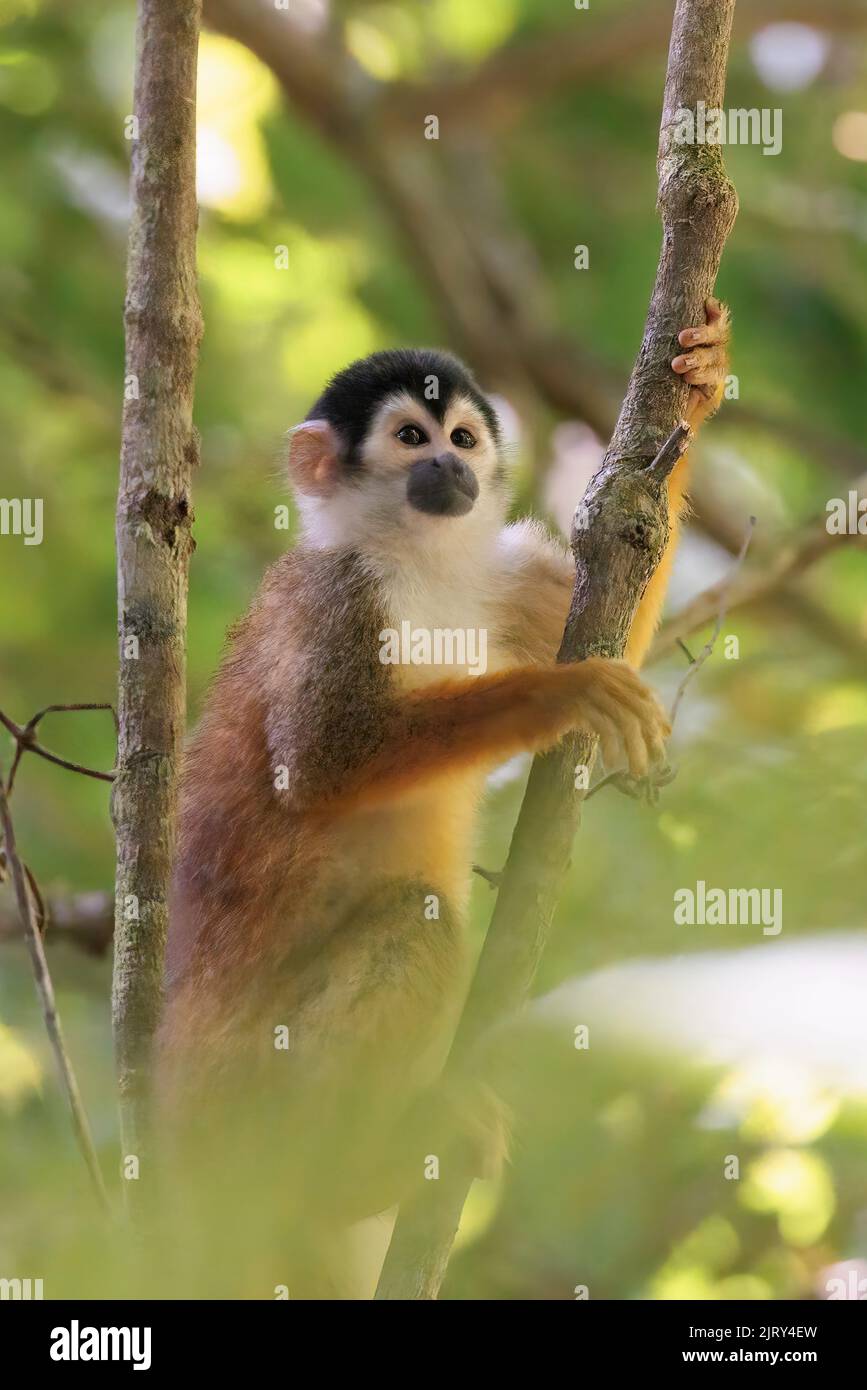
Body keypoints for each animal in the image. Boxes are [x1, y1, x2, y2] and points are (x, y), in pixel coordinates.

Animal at [156, 300, 729, 1291]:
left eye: (461, 437)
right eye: (408, 438)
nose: (449, 468)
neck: (413, 558)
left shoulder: (489, 577)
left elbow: (623, 585)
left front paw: (700, 370)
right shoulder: (334, 594)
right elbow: (317, 761)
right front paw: (558, 695)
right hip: (246, 1103)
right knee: (411, 925)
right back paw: (352, 1177)